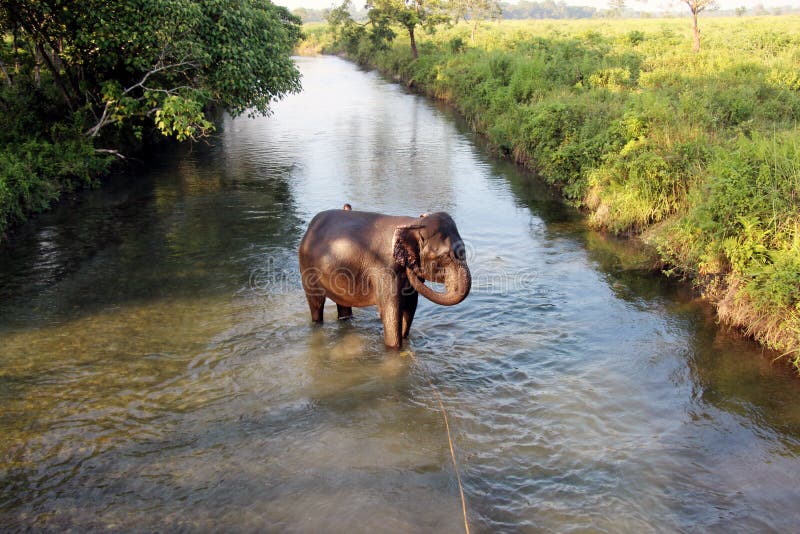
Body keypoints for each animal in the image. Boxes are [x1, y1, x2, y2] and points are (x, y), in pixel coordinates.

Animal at [298, 205, 471, 348]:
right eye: (445, 257)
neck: (412, 223)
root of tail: (310, 227)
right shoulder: (384, 270)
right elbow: (391, 312)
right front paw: (394, 350)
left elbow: (410, 306)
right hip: (307, 270)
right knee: (316, 303)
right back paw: (317, 324)